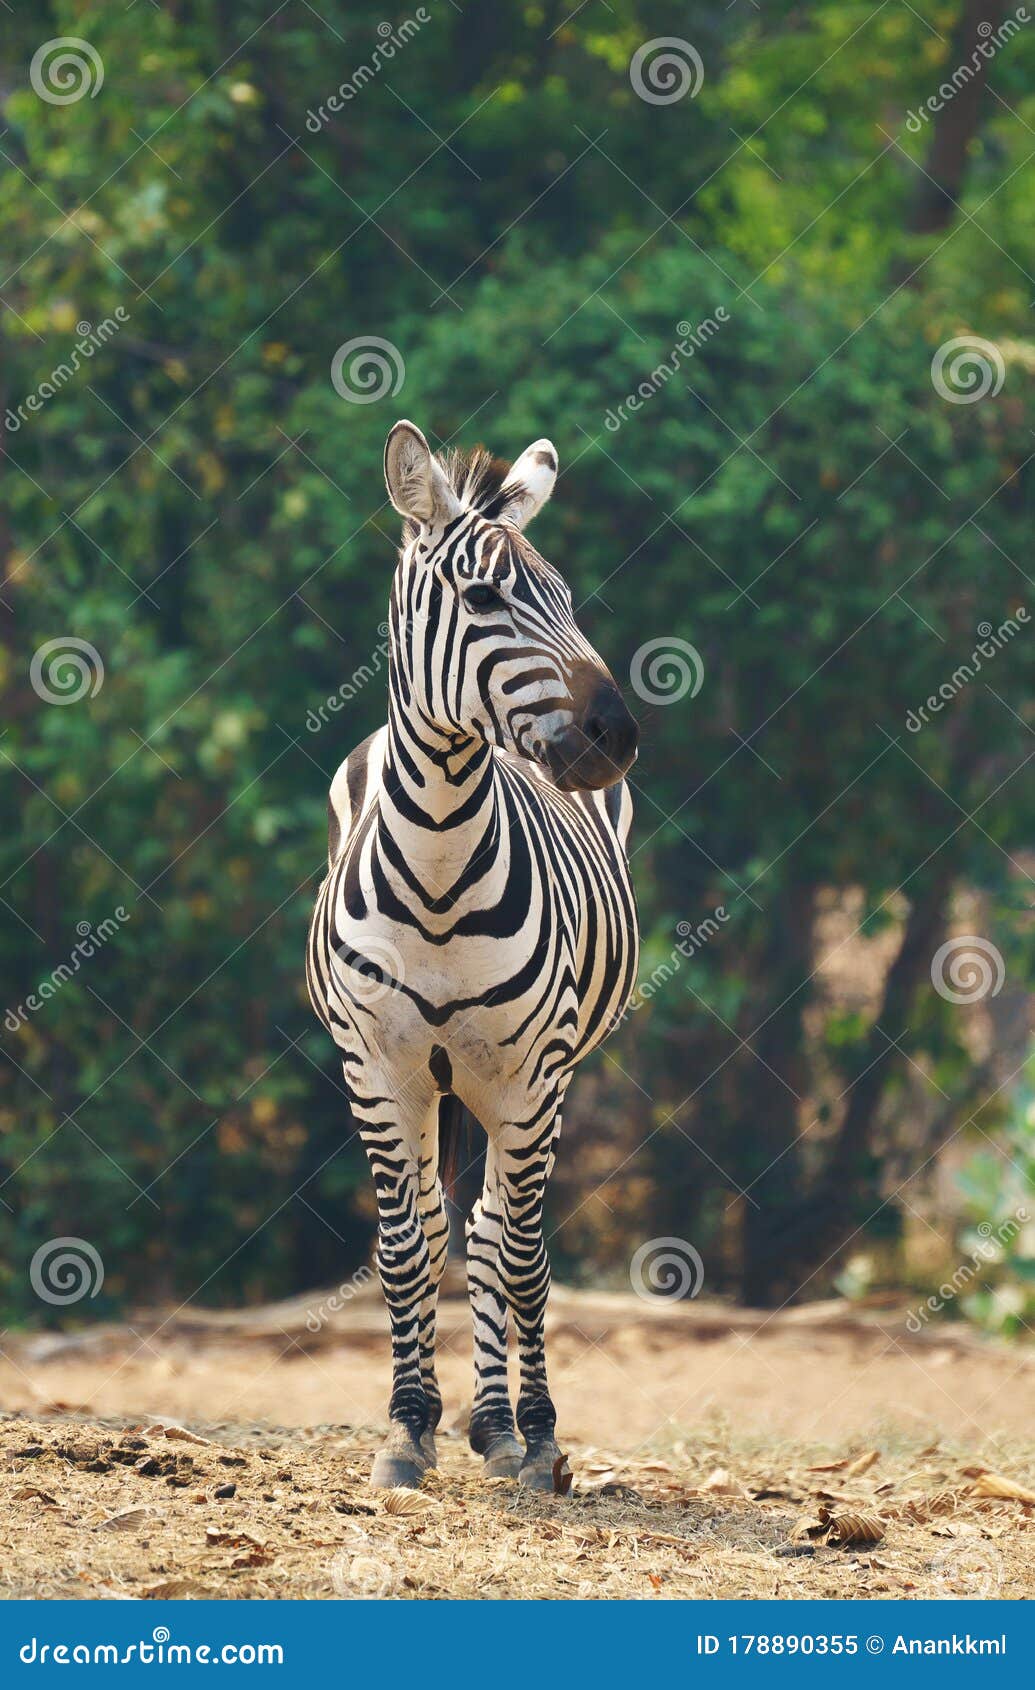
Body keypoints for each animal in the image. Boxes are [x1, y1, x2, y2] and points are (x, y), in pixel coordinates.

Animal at [306, 420, 639, 1490]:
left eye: (568, 598)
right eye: (485, 599)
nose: (615, 736)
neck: (442, 870)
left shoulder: (529, 1074)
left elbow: (520, 1258)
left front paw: (534, 1437)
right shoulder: (377, 1068)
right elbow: (406, 1248)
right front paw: (407, 1429)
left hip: (528, 1082)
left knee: (497, 1235)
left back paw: (500, 1425)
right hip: (436, 1084)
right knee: (441, 1223)